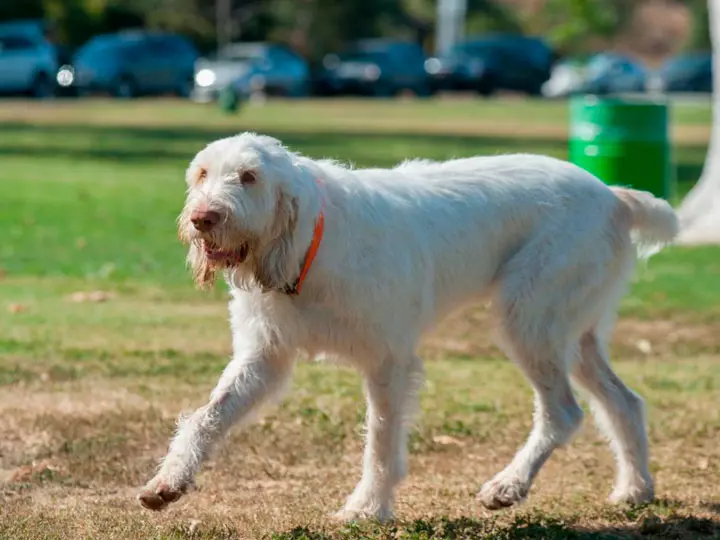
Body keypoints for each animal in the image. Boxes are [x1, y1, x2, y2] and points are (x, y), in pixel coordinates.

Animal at [139, 131, 680, 520]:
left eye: (249, 177)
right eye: (202, 173)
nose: (202, 218)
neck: (308, 246)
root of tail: (612, 195)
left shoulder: (388, 363)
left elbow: (380, 439)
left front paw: (368, 508)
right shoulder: (263, 360)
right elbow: (208, 416)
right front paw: (169, 483)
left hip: (529, 322)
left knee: (563, 412)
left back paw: (508, 485)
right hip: (574, 335)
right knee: (624, 402)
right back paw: (636, 488)